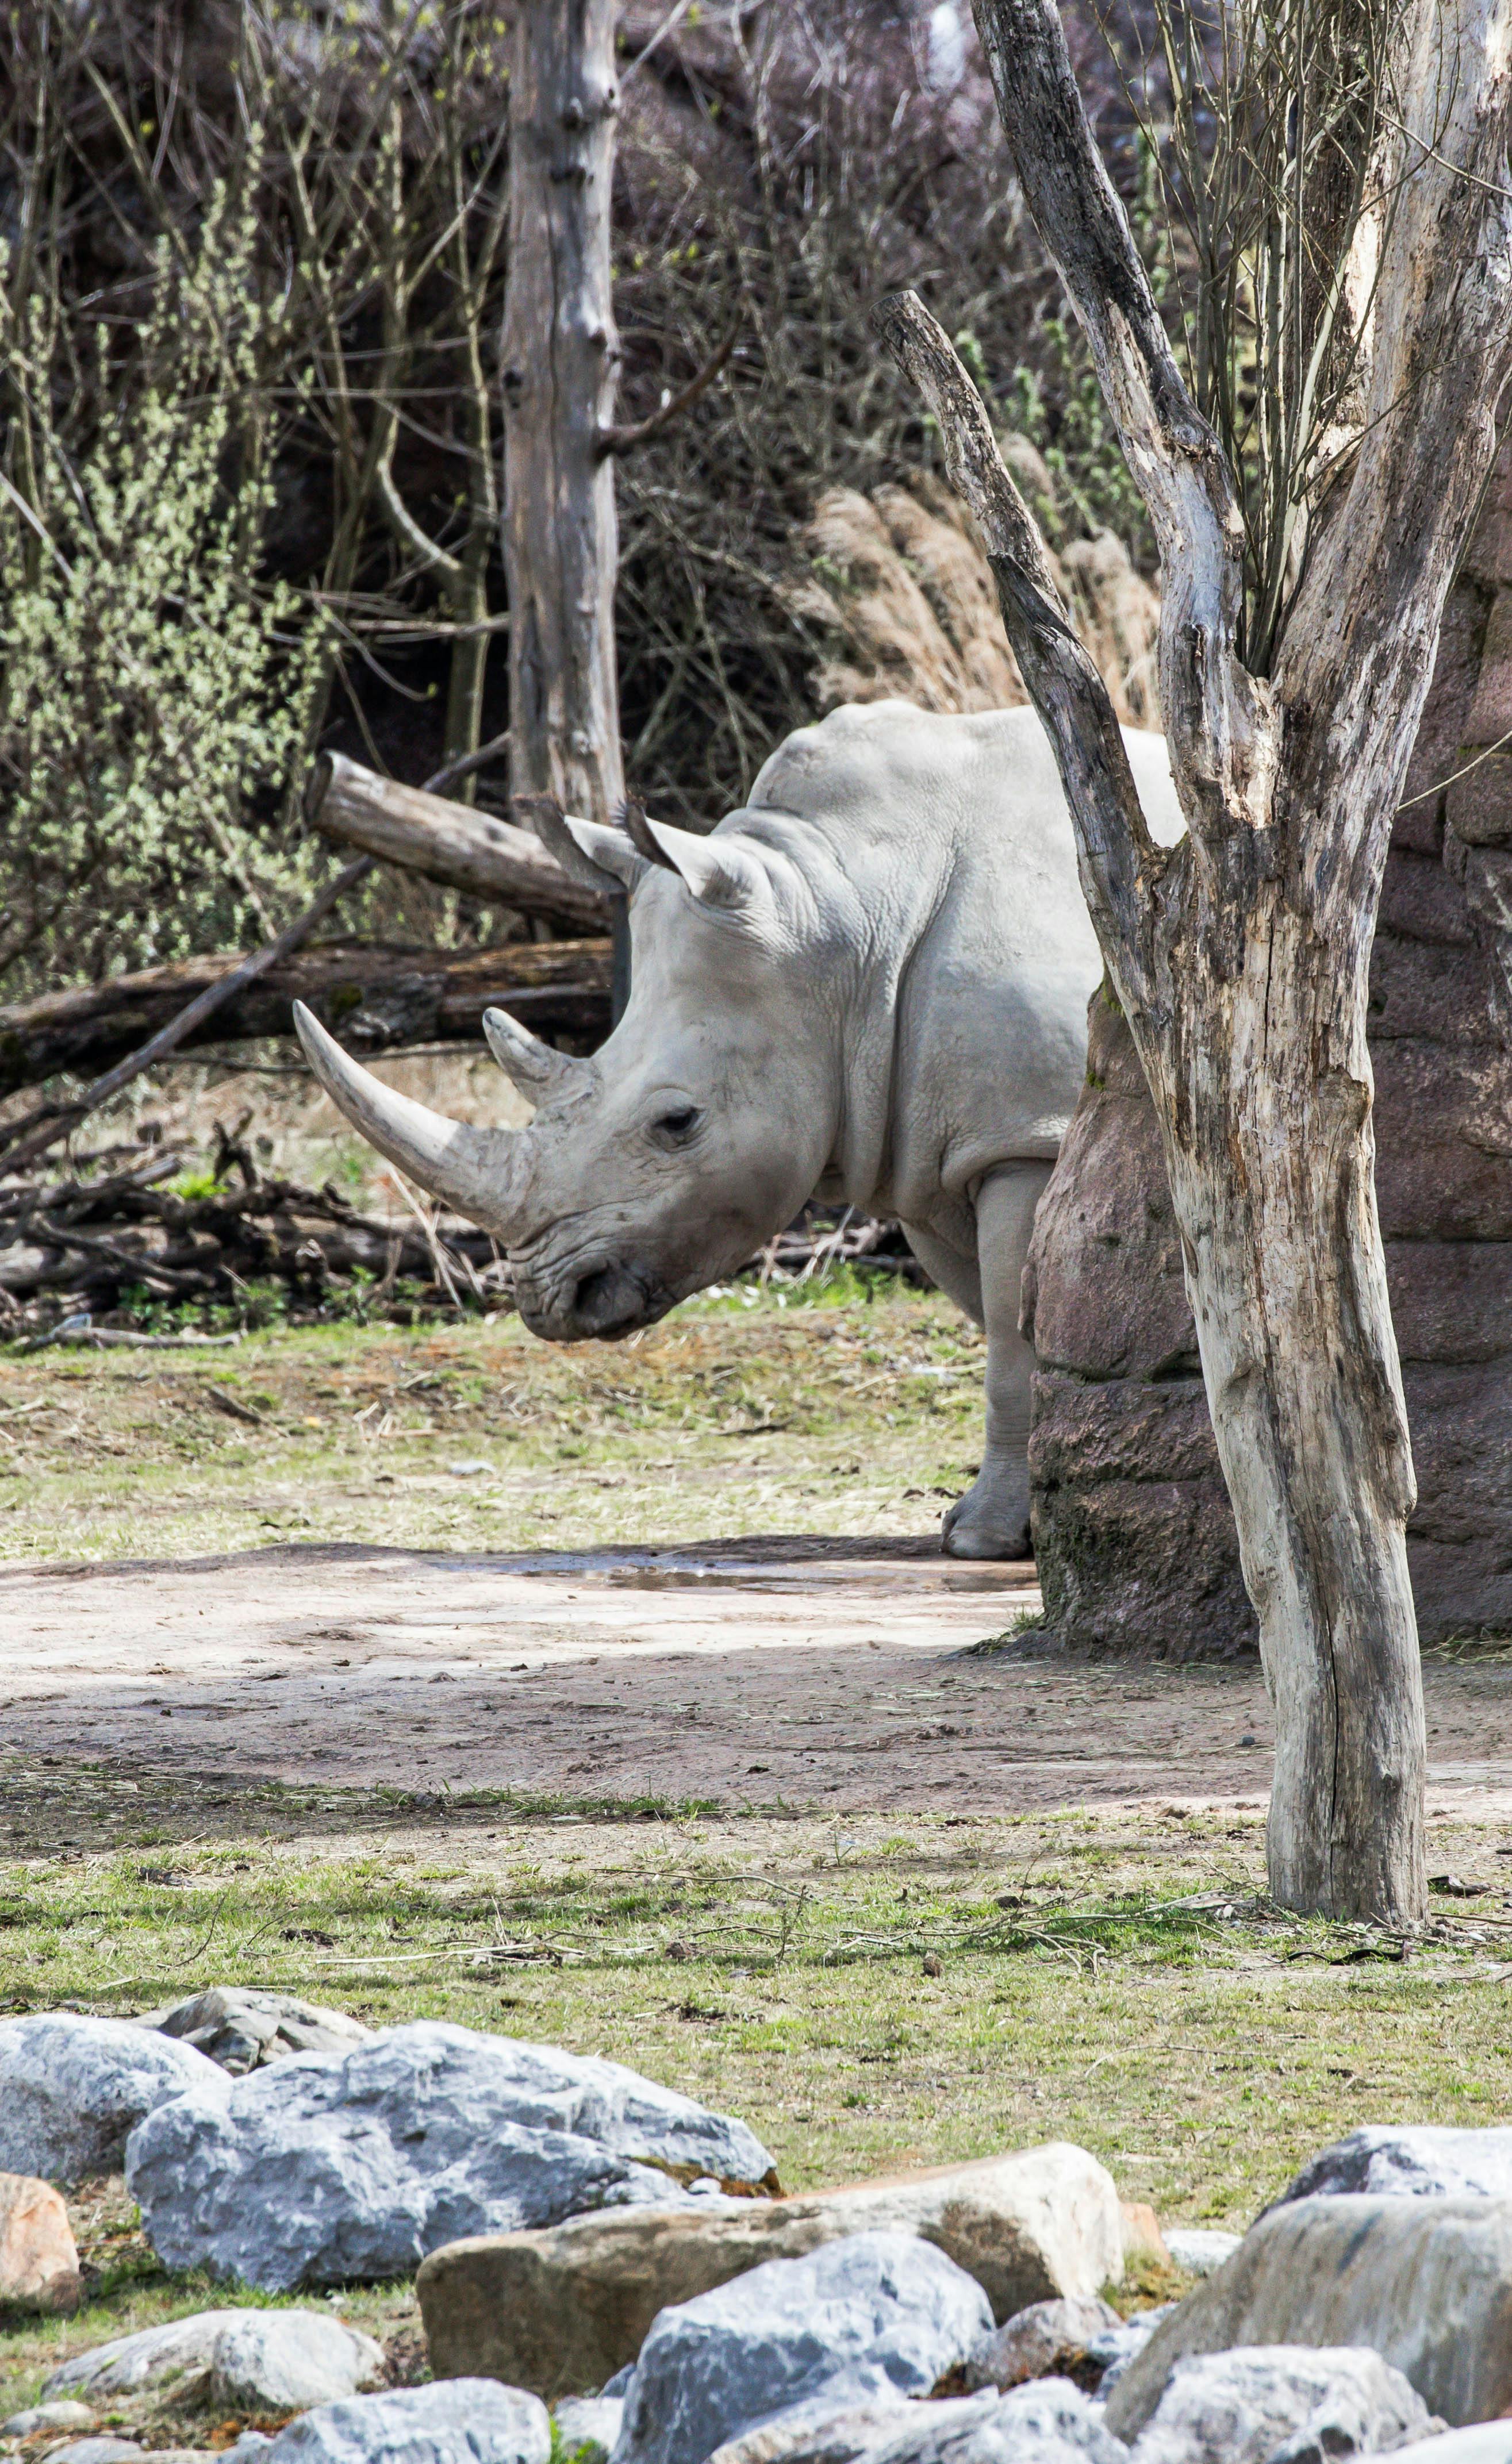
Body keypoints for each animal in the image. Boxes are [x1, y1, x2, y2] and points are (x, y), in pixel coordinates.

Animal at [295, 699, 1183, 1558]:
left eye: (677, 1122)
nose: (549, 1300)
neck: (847, 913)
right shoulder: (935, 1154)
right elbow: (1000, 1329)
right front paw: (1011, 1526)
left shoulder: (1024, 1134)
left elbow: (1012, 1337)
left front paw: (984, 1543)